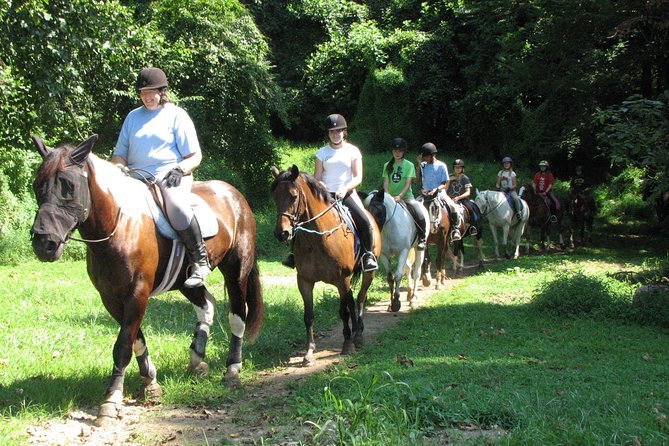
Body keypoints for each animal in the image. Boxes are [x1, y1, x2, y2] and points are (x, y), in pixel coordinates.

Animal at [30, 134, 264, 426]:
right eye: (37, 185)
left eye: (69, 186)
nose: (44, 244)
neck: (119, 225)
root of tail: (233, 194)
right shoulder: (111, 298)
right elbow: (135, 339)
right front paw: (150, 383)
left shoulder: (137, 293)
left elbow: (122, 346)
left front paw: (110, 402)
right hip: (185, 281)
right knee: (206, 304)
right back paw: (197, 358)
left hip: (236, 270)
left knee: (237, 315)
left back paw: (232, 369)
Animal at [270, 165, 381, 366]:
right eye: (275, 196)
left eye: (293, 196)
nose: (282, 233)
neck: (318, 237)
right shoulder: (304, 281)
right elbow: (309, 316)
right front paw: (309, 353)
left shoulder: (341, 279)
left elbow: (343, 311)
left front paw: (347, 345)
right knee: (352, 300)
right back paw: (354, 331)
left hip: (368, 273)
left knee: (360, 298)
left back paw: (358, 336)